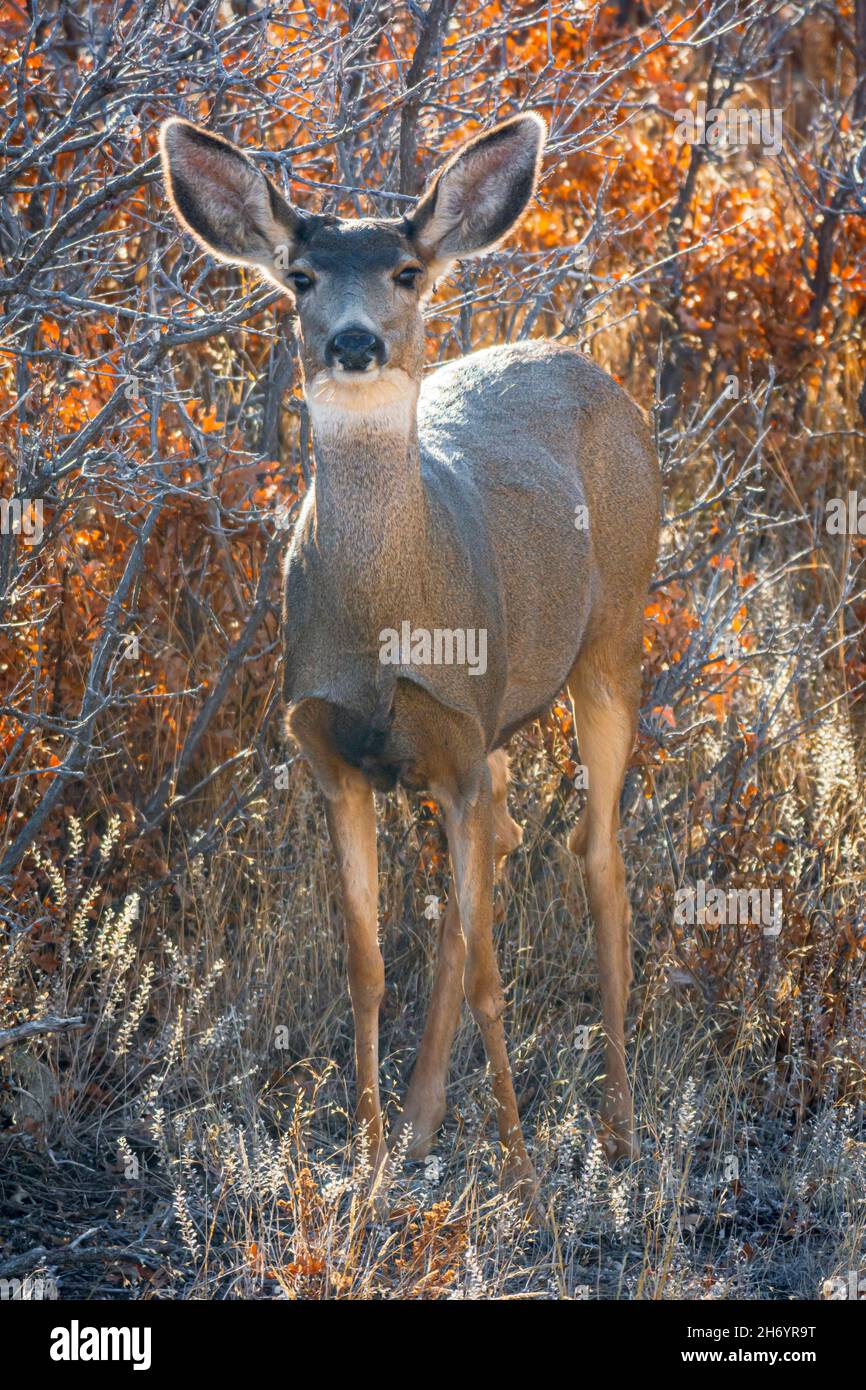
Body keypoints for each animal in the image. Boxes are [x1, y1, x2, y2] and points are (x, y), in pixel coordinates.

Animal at [159, 111, 660, 1213]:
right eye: (301, 274)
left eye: (403, 270)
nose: (354, 341)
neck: (387, 623)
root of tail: (581, 360)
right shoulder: (332, 752)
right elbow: (366, 961)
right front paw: (365, 1153)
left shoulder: (456, 734)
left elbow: (485, 972)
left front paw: (520, 1173)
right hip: (488, 730)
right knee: (501, 846)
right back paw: (427, 1125)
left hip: (613, 629)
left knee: (596, 857)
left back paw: (616, 1129)